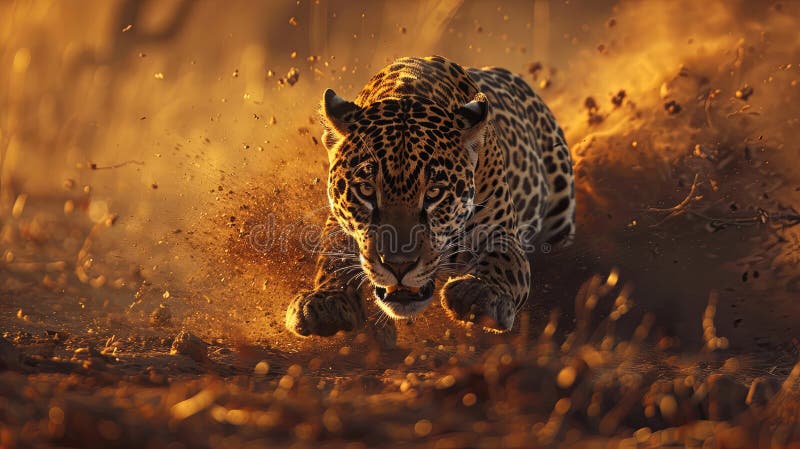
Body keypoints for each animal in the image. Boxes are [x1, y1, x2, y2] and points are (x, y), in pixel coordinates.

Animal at [285, 55, 574, 341]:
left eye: (434, 193)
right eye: (366, 190)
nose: (399, 266)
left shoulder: (502, 230)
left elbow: (503, 260)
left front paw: (479, 292)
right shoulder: (338, 221)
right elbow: (333, 256)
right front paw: (325, 301)